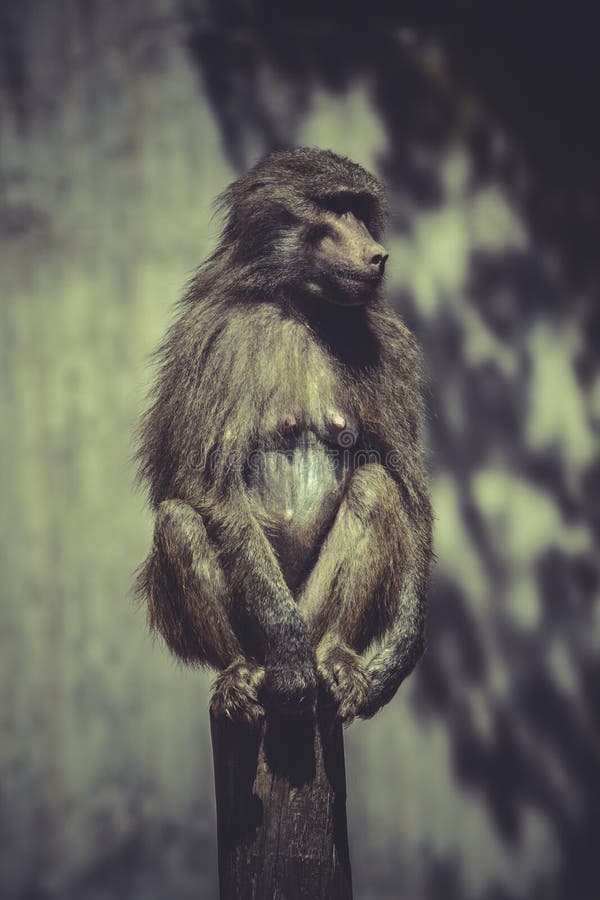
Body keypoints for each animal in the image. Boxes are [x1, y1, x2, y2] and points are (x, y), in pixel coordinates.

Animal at [135, 148, 433, 725]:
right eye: (335, 208)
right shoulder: (214, 336)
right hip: (261, 631)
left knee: (375, 489)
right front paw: (289, 653)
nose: (378, 254)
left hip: (315, 612)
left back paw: (337, 656)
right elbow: (208, 485)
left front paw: (402, 649)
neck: (297, 306)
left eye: (361, 210)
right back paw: (242, 670)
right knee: (180, 520)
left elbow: (406, 487)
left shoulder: (386, 340)